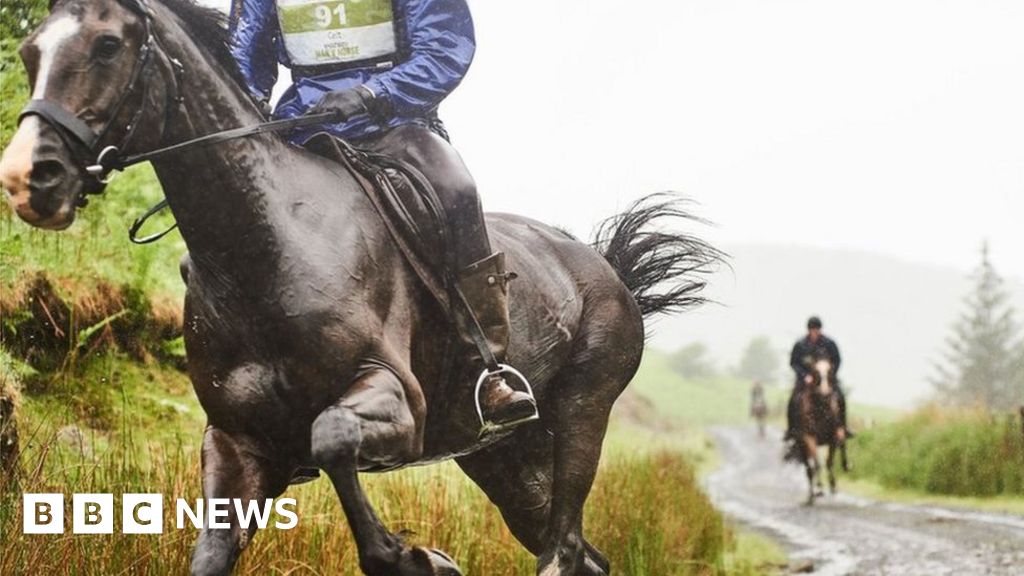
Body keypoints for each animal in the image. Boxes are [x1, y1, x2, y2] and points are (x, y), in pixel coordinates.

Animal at [0, 0, 722, 574]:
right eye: (32, 50)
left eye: (107, 45)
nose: (29, 179)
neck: (265, 246)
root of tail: (603, 266)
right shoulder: (237, 443)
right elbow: (211, 552)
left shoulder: (396, 403)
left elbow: (331, 438)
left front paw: (419, 558)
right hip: (504, 457)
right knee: (579, 553)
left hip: (580, 416)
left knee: (564, 548)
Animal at [796, 358, 848, 505]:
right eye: (815, 373)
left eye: (830, 372)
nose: (825, 394)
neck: (821, 408)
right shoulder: (809, 438)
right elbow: (817, 464)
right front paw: (819, 488)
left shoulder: (833, 438)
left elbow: (829, 462)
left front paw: (833, 485)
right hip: (802, 445)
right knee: (809, 469)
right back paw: (810, 497)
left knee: (843, 445)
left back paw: (847, 465)